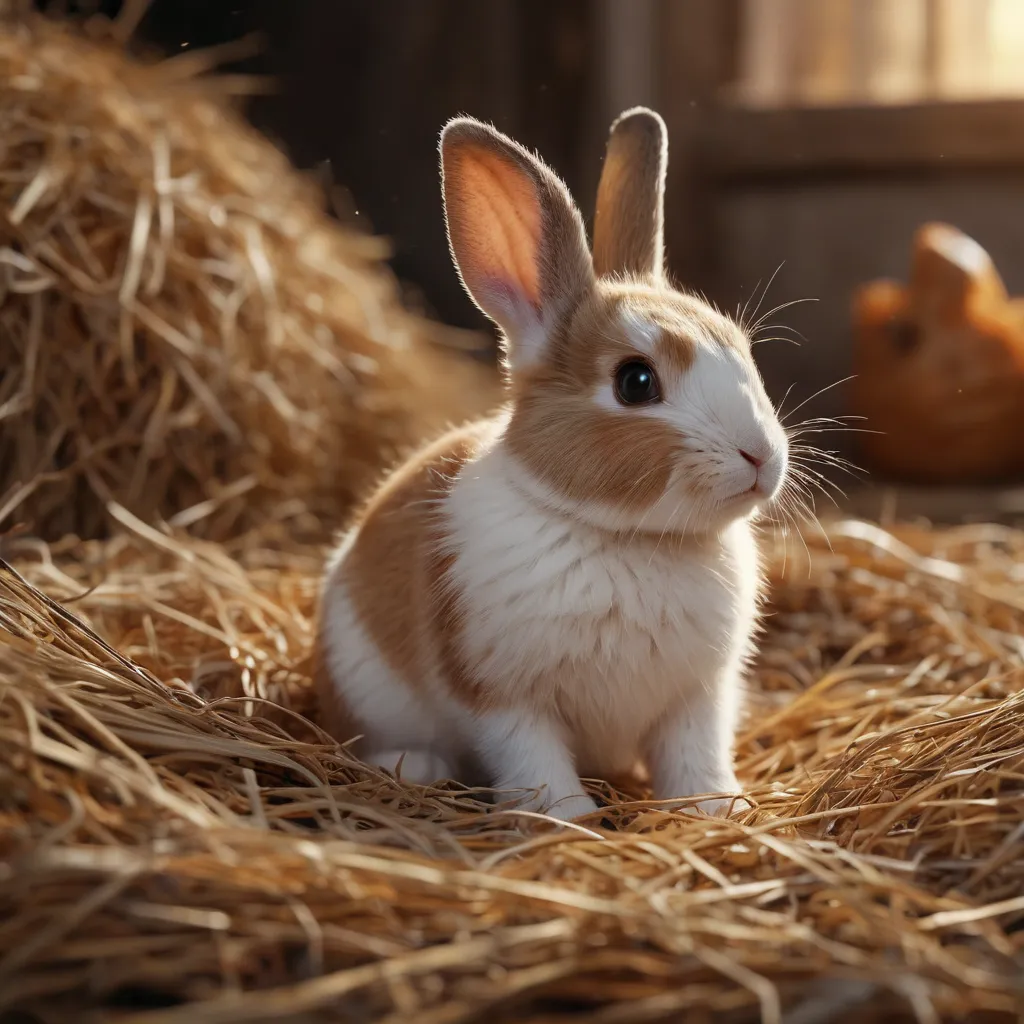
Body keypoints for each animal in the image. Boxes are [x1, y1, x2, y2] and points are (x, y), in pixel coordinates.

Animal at [313, 107, 789, 821]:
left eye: (741, 349)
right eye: (636, 382)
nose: (762, 455)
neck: (628, 538)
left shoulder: (696, 697)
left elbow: (694, 759)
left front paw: (716, 810)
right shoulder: (502, 698)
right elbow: (533, 762)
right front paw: (569, 820)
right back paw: (417, 768)